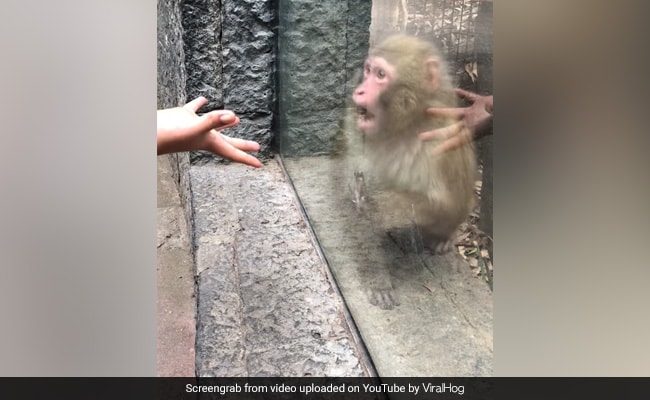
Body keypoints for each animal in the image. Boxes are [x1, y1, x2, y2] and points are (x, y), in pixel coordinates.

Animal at [337, 35, 476, 309]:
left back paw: (442, 237)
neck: (404, 126)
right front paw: (378, 282)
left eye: (381, 75)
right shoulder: (355, 129)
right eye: (368, 70)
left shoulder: (441, 139)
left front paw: (377, 203)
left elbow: (446, 202)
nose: (359, 90)